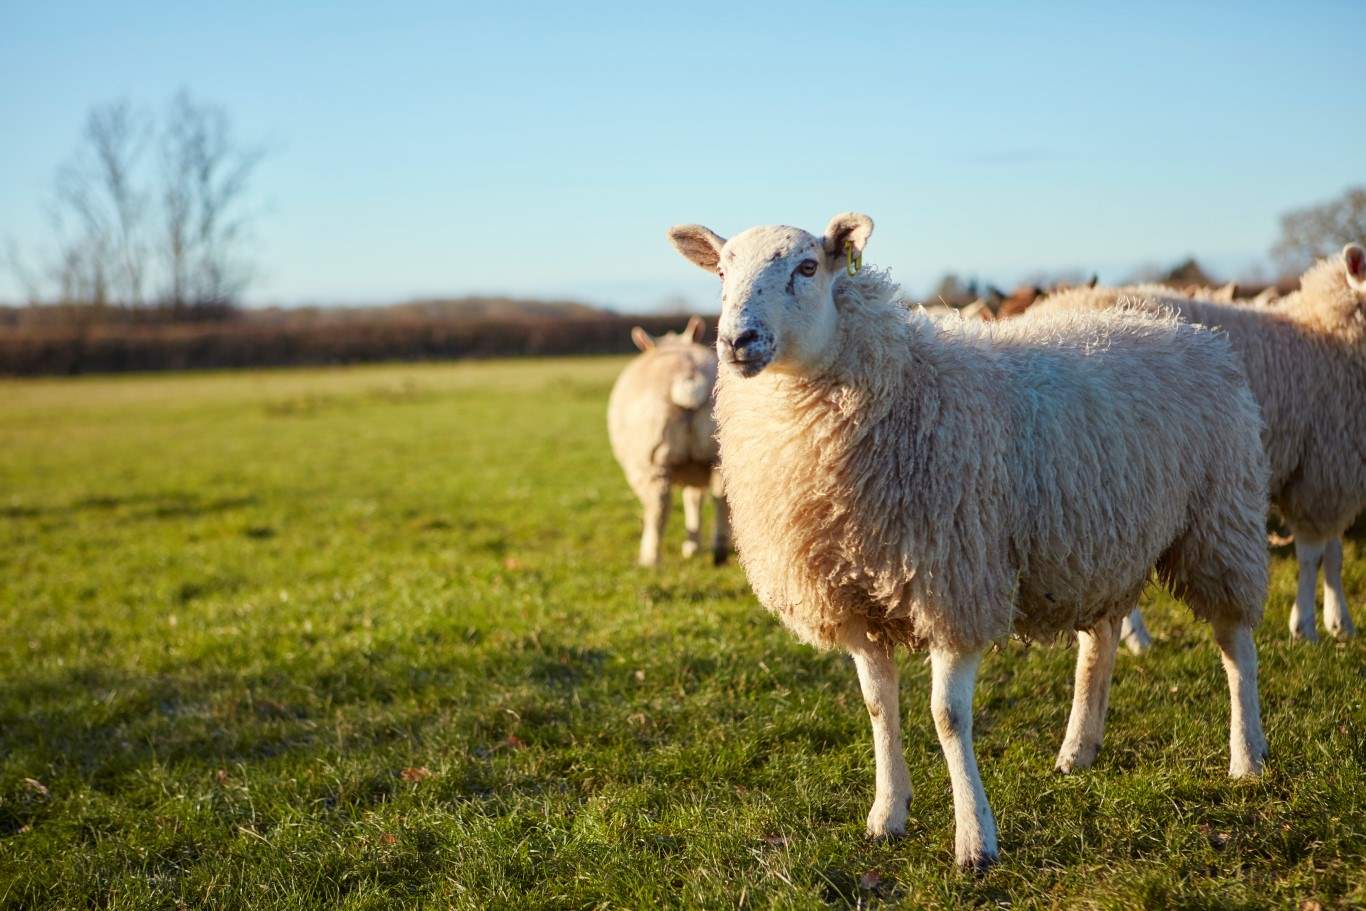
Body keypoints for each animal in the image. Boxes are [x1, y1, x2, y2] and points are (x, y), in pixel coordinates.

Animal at [606, 316, 729, 567]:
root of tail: (689, 377)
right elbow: (694, 500)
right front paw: (692, 546)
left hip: (651, 458)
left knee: (658, 506)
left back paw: (649, 558)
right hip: (719, 454)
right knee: (720, 496)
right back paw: (720, 549)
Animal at [667, 213, 1270, 869]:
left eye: (807, 267)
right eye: (721, 273)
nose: (738, 341)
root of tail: (1188, 331)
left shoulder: (954, 584)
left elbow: (948, 717)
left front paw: (975, 839)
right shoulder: (854, 601)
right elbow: (878, 707)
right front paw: (887, 816)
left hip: (1219, 520)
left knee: (1235, 642)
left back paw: (1247, 756)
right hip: (1098, 542)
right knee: (1101, 640)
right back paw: (1078, 749)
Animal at [1038, 244, 1366, 643]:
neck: (1327, 333)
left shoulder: (1338, 470)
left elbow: (1334, 553)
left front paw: (1340, 623)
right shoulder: (1324, 467)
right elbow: (1311, 554)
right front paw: (1304, 625)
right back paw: (1137, 636)